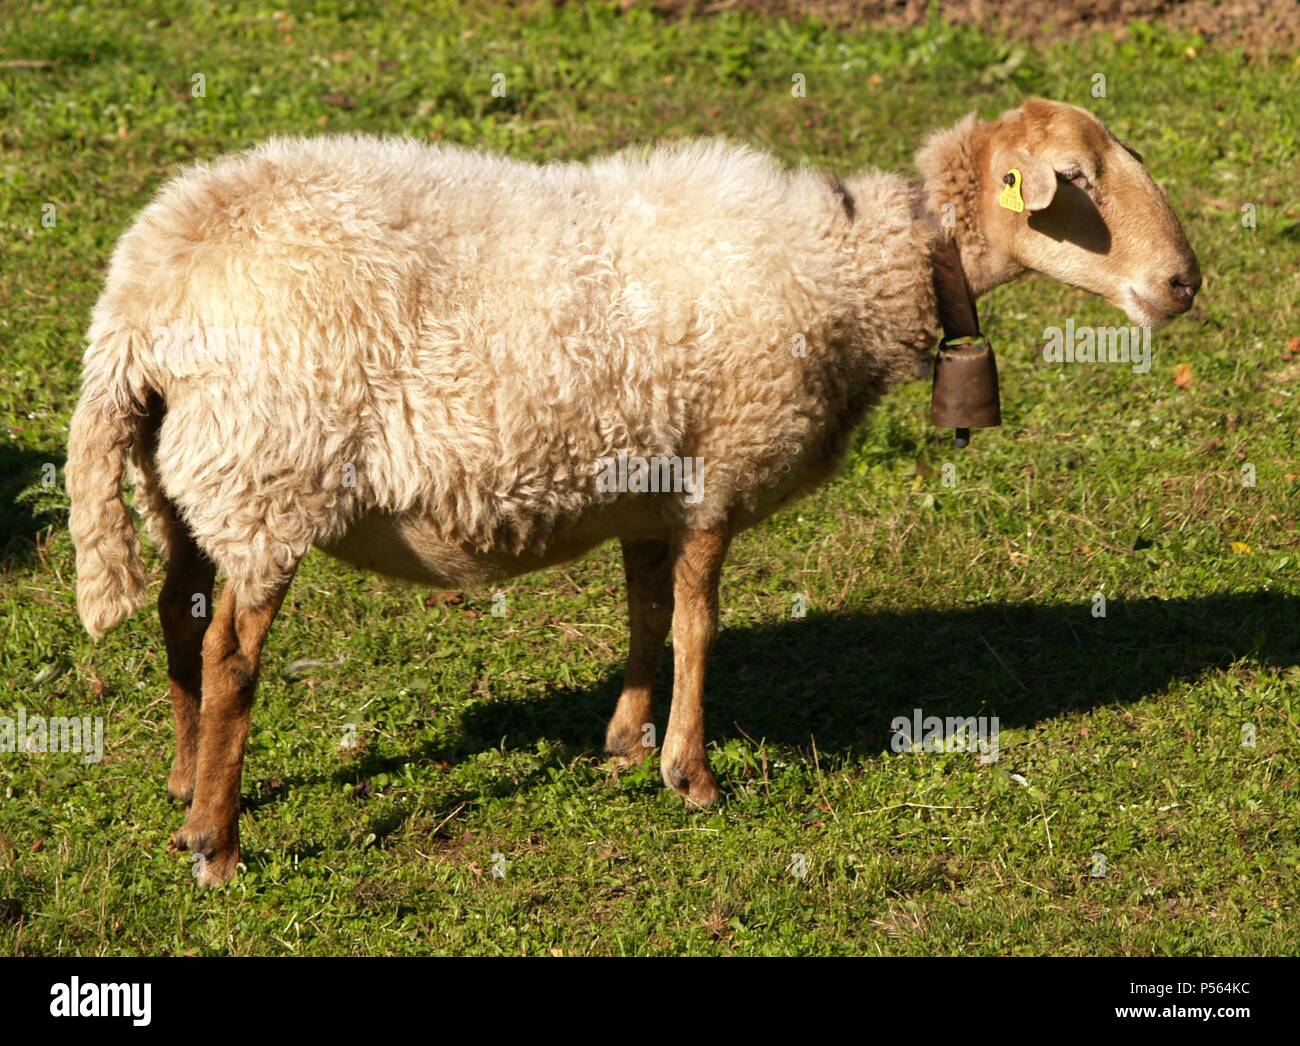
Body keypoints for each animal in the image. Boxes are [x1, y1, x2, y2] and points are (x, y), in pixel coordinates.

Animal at [66, 98, 1200, 885]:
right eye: (1075, 179)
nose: (1185, 282)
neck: (853, 265)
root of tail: (140, 295)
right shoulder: (716, 473)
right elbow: (699, 622)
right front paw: (690, 776)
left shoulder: (652, 489)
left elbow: (648, 614)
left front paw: (623, 744)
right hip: (268, 474)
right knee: (231, 656)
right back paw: (217, 842)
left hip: (188, 478)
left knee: (179, 619)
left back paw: (183, 784)